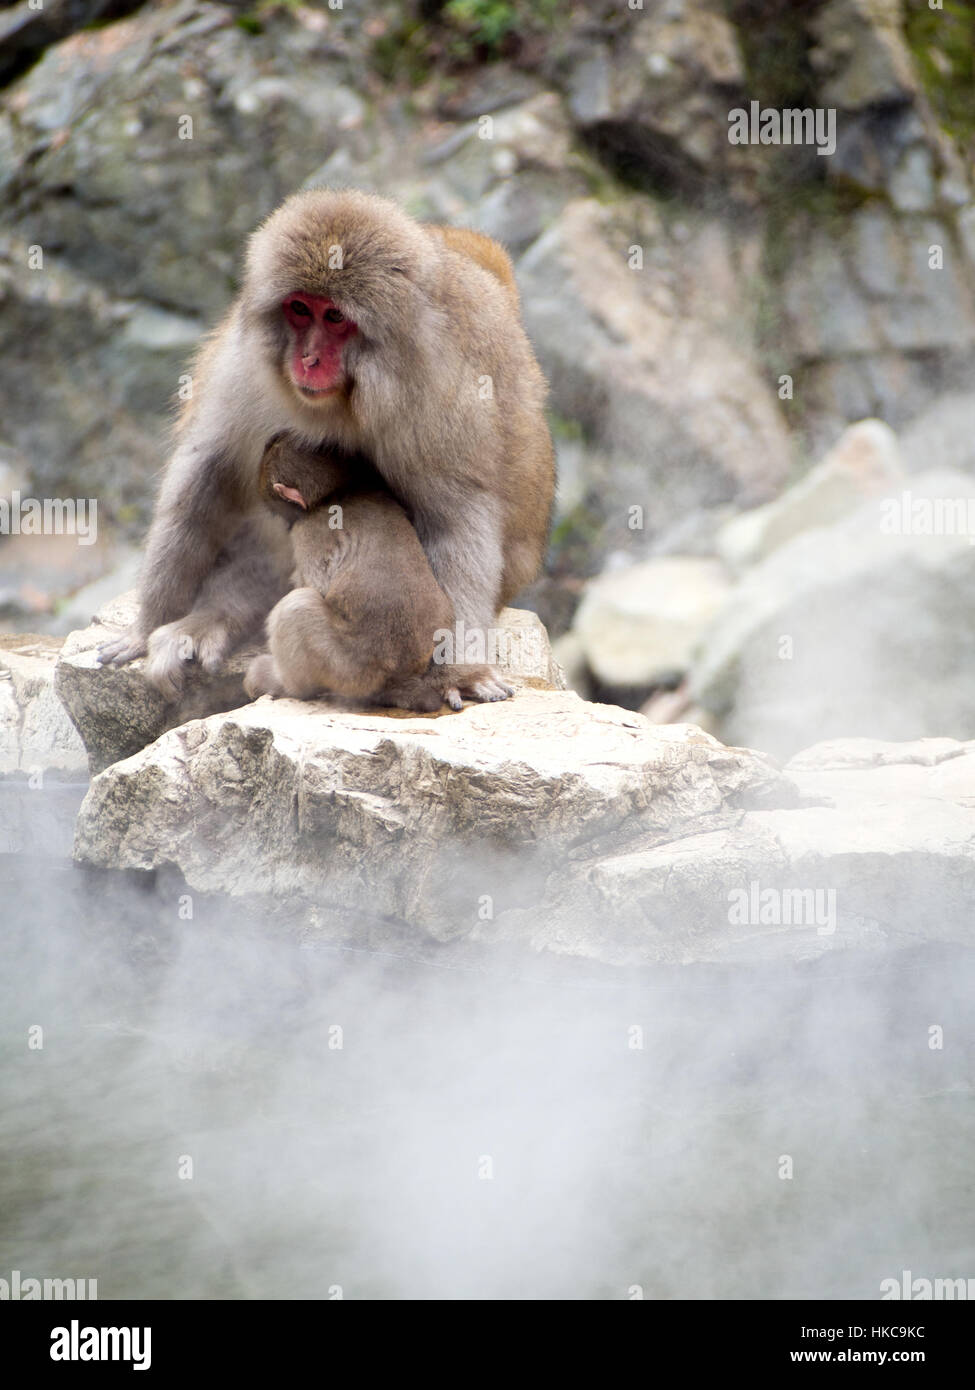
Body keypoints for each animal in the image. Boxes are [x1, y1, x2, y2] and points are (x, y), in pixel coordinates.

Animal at [242, 434, 460, 711]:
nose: (284, 523)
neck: (338, 493)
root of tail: (397, 678)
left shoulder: (307, 529)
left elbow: (315, 584)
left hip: (346, 670)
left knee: (296, 607)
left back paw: (283, 683)